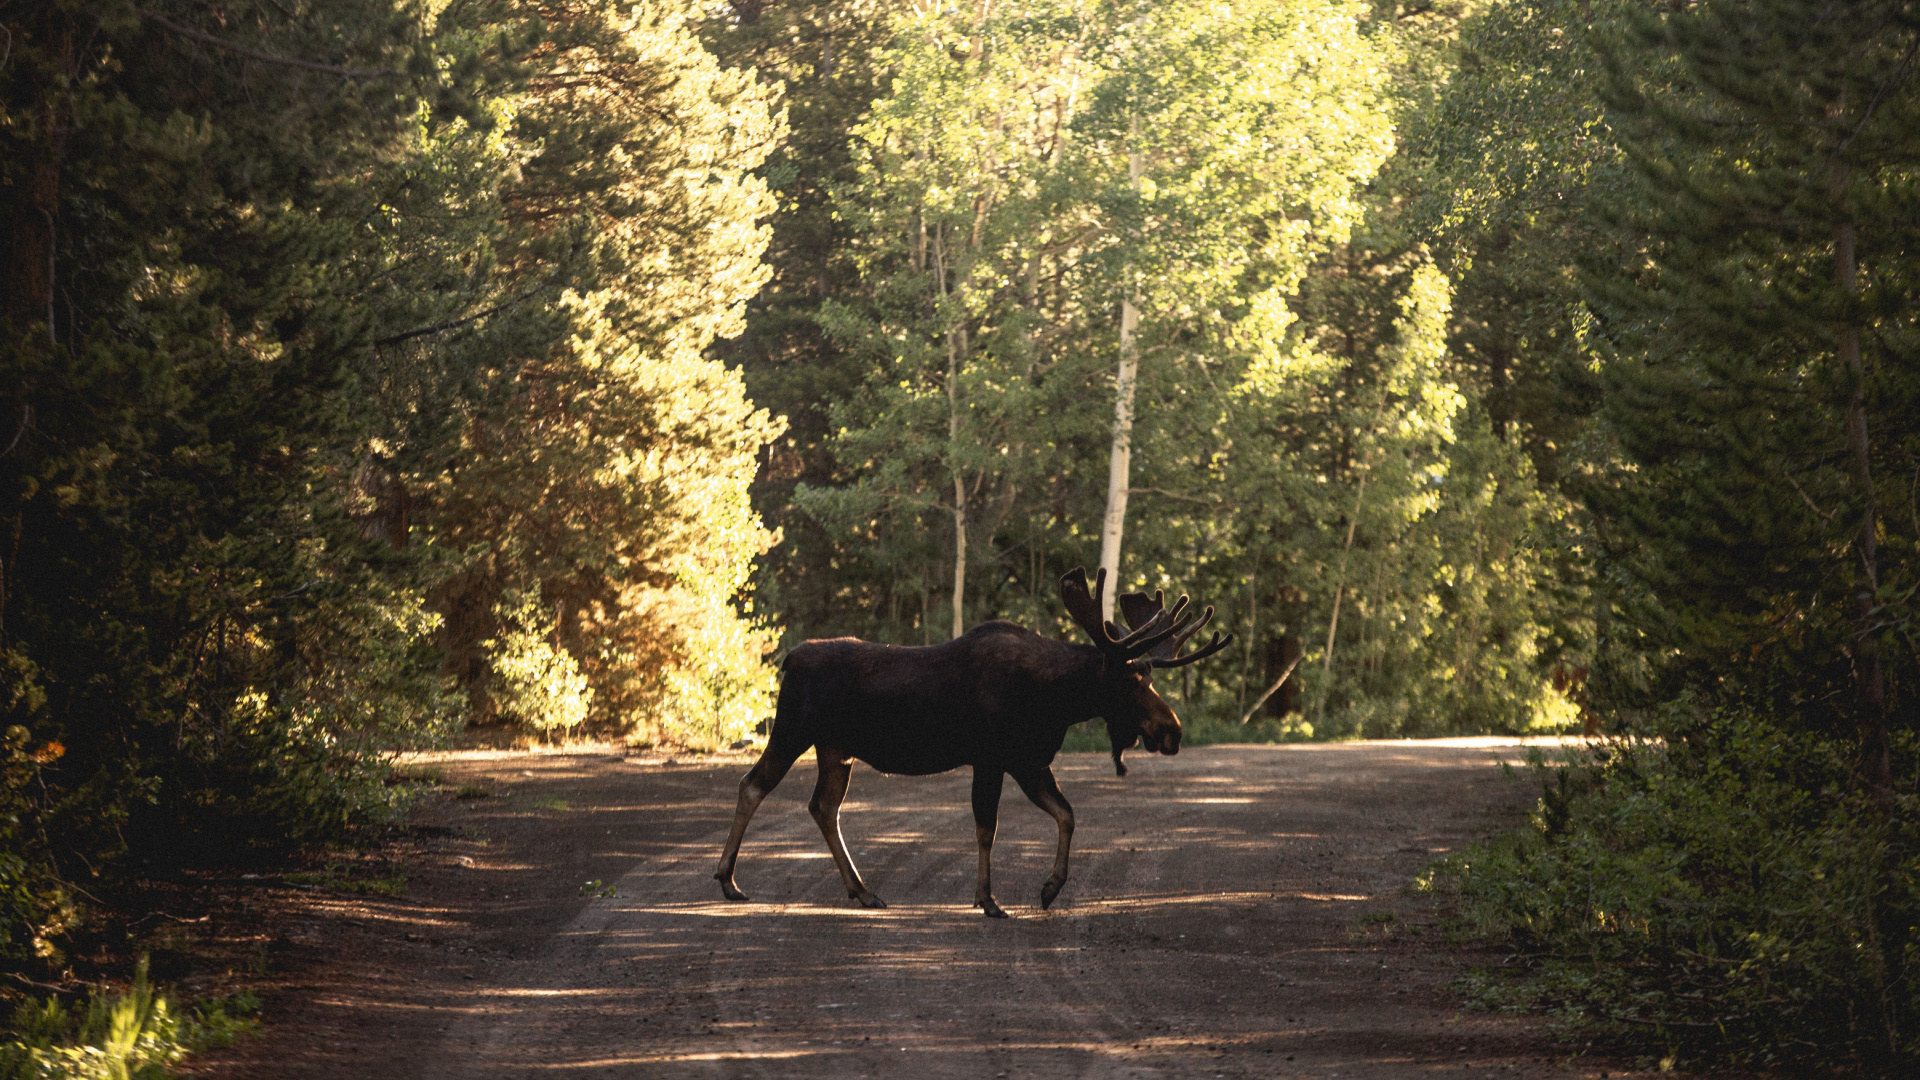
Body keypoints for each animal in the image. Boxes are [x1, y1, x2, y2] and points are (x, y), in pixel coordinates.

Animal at [713, 567, 1233, 917]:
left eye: (1150, 676)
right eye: (1129, 680)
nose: (1173, 731)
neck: (1055, 700)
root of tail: (788, 660)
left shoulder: (1027, 760)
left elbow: (1066, 814)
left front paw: (1049, 888)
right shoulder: (992, 757)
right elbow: (988, 827)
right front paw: (989, 899)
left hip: (836, 751)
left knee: (823, 806)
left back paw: (862, 890)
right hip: (793, 729)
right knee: (753, 785)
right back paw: (728, 879)